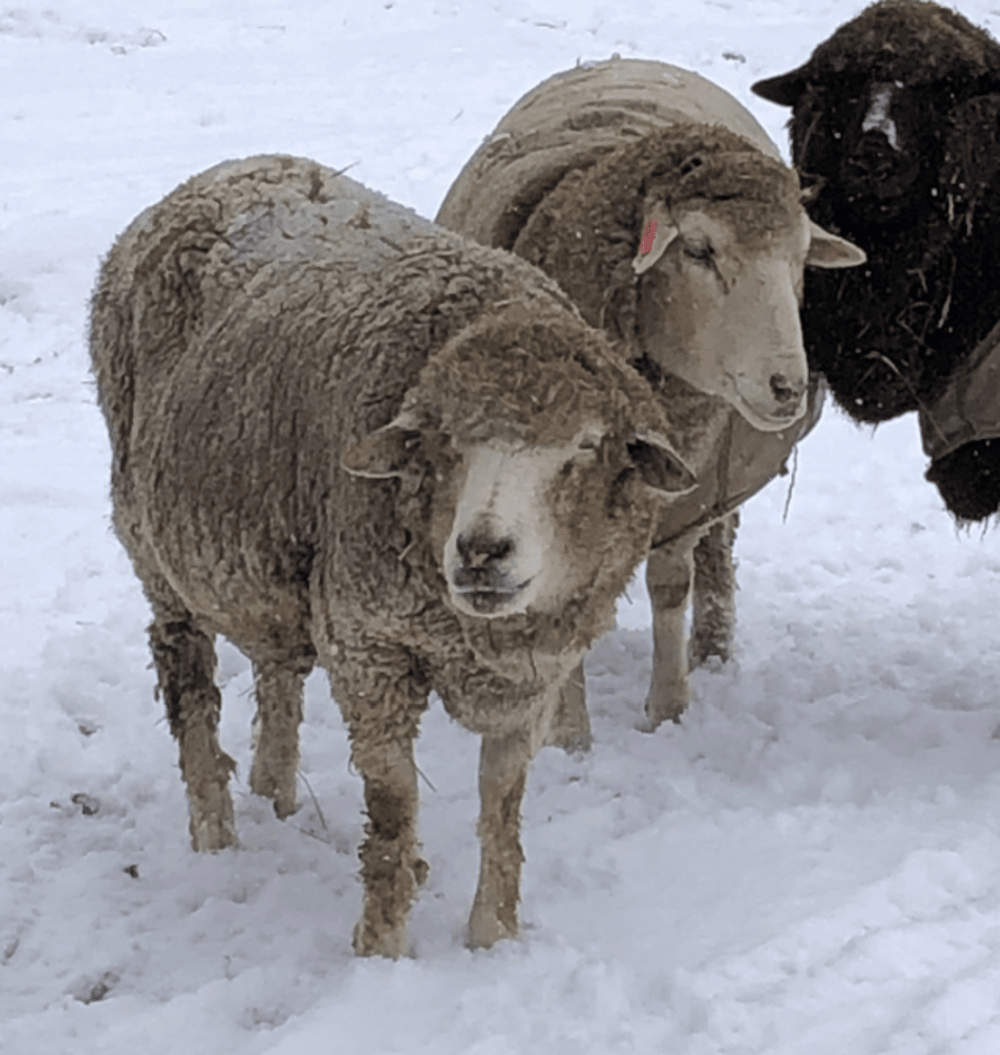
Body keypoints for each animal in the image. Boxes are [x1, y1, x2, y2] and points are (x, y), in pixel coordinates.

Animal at [89, 153, 700, 956]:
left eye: (585, 448)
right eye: (446, 441)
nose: (481, 550)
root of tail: (220, 174)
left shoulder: (536, 670)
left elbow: (502, 801)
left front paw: (492, 935)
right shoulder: (369, 647)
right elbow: (393, 802)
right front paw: (384, 944)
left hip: (275, 565)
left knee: (278, 669)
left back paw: (276, 794)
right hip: (157, 558)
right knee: (189, 689)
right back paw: (216, 837)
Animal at [437, 57, 865, 732]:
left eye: (801, 258)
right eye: (698, 249)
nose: (788, 387)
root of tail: (625, 61)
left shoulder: (687, 490)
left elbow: (670, 584)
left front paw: (669, 709)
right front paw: (570, 735)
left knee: (719, 549)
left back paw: (713, 649)